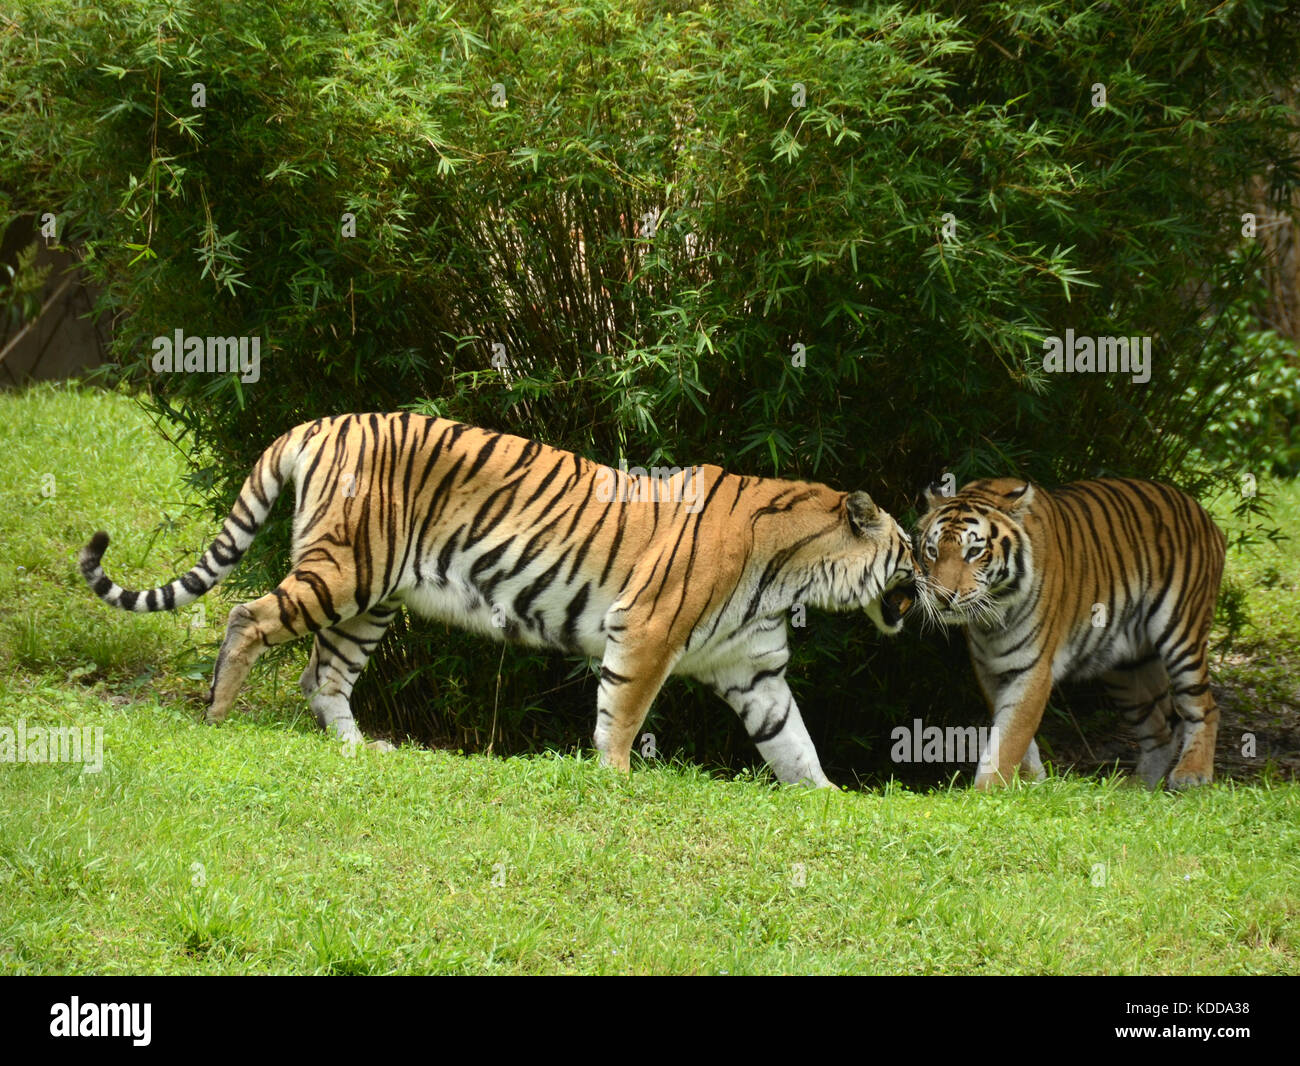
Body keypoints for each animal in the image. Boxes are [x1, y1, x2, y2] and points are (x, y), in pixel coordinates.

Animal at [79, 412, 916, 787]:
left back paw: (361, 748)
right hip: (344, 570)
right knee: (246, 616)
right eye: (910, 554)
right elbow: (623, 714)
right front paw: (615, 780)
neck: (796, 574)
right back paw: (218, 714)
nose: (934, 589)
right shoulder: (644, 631)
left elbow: (793, 741)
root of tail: (322, 419)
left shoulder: (755, 671)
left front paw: (826, 797)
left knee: (325, 674)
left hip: (373, 599)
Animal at [912, 477, 1225, 790]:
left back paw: (1192, 774)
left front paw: (989, 791)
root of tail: (1203, 513)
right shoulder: (989, 671)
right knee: (1164, 727)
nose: (942, 597)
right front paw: (1032, 781)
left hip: (1181, 634)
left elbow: (1011, 736)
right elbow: (1012, 733)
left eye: (974, 552)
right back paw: (1138, 788)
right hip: (1127, 668)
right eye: (933, 551)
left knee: (1205, 707)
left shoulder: (1032, 668)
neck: (993, 616)